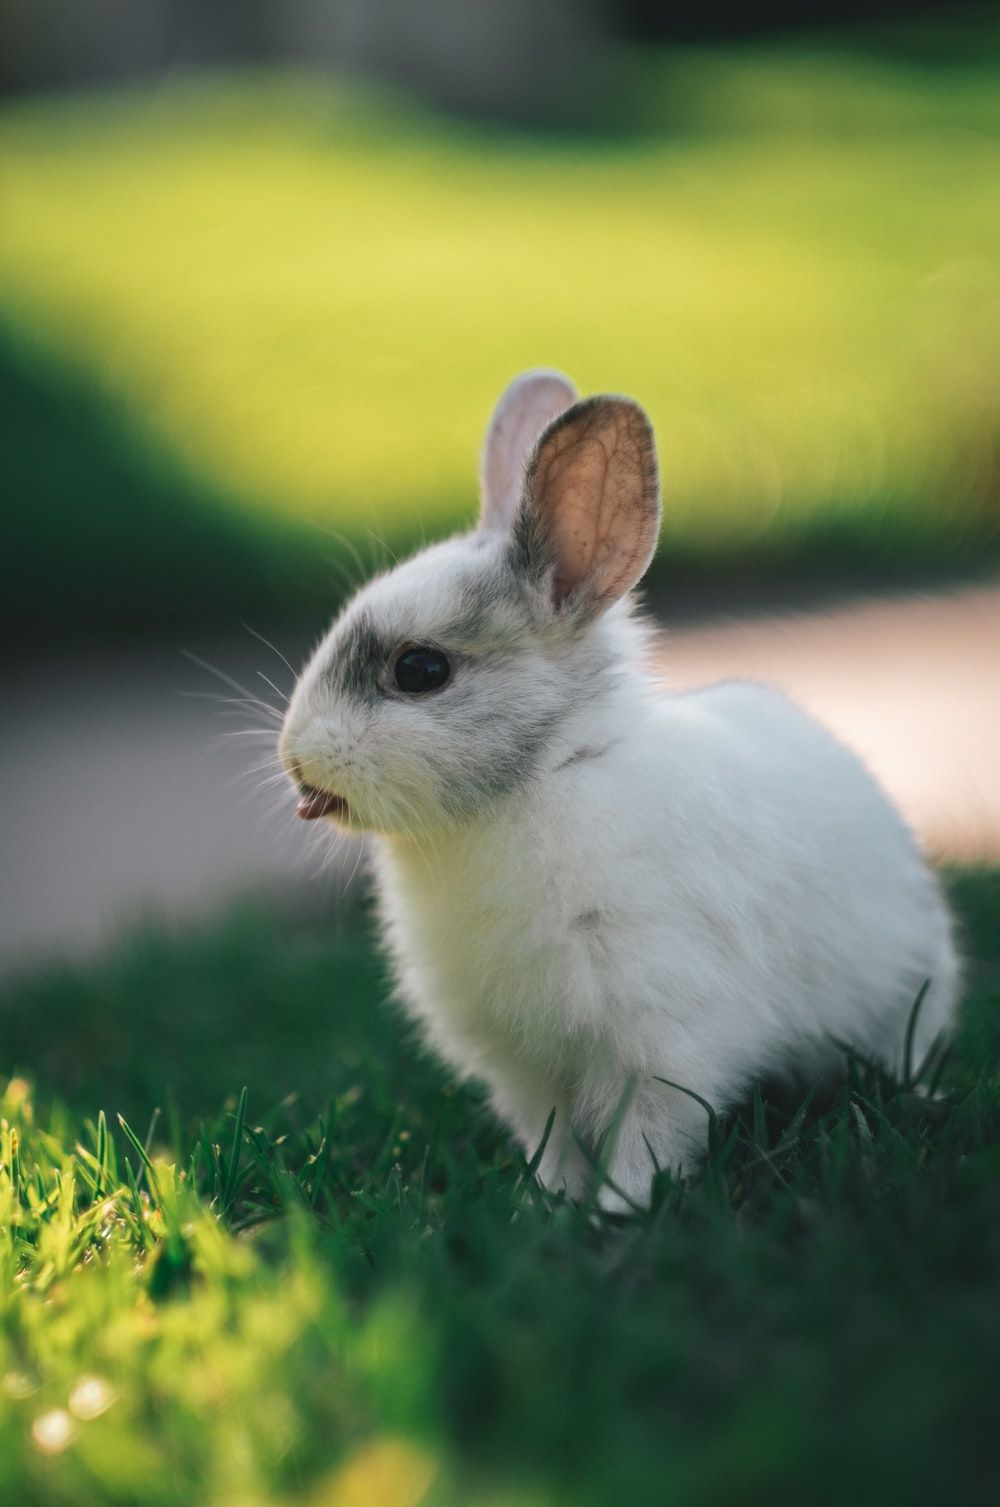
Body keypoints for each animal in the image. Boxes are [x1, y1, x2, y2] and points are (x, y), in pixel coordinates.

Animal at [279, 369, 960, 1210]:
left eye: (420, 670)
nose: (296, 763)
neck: (541, 777)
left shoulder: (661, 1039)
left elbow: (646, 1135)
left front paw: (621, 1210)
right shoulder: (529, 1068)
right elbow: (554, 1137)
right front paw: (550, 1203)